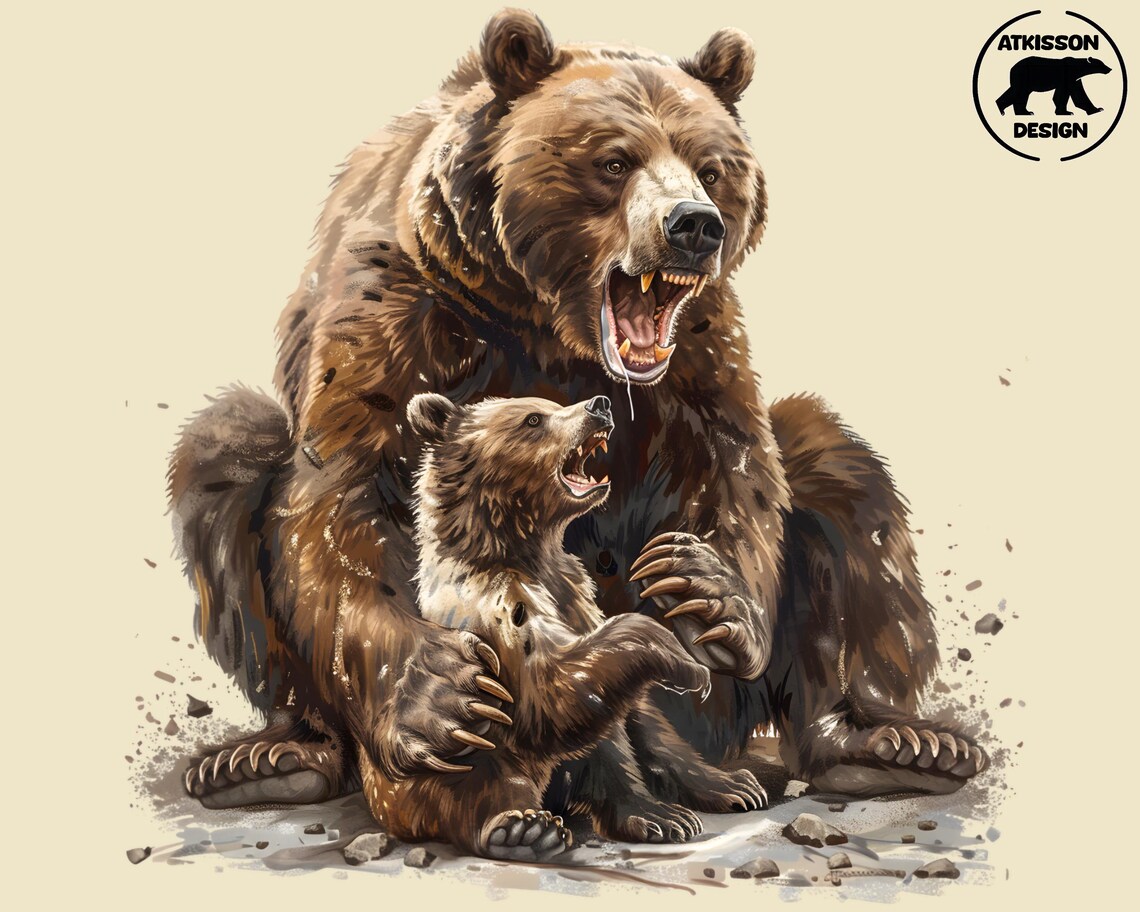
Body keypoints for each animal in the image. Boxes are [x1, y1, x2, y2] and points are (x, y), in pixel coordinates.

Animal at [379, 391, 726, 859]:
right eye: (533, 419)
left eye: (553, 404)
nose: (600, 404)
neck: (525, 549)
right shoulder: (495, 610)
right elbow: (544, 687)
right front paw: (677, 655)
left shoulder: (575, 596)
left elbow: (624, 726)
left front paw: (684, 802)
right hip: (435, 765)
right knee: (483, 772)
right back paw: (523, 829)